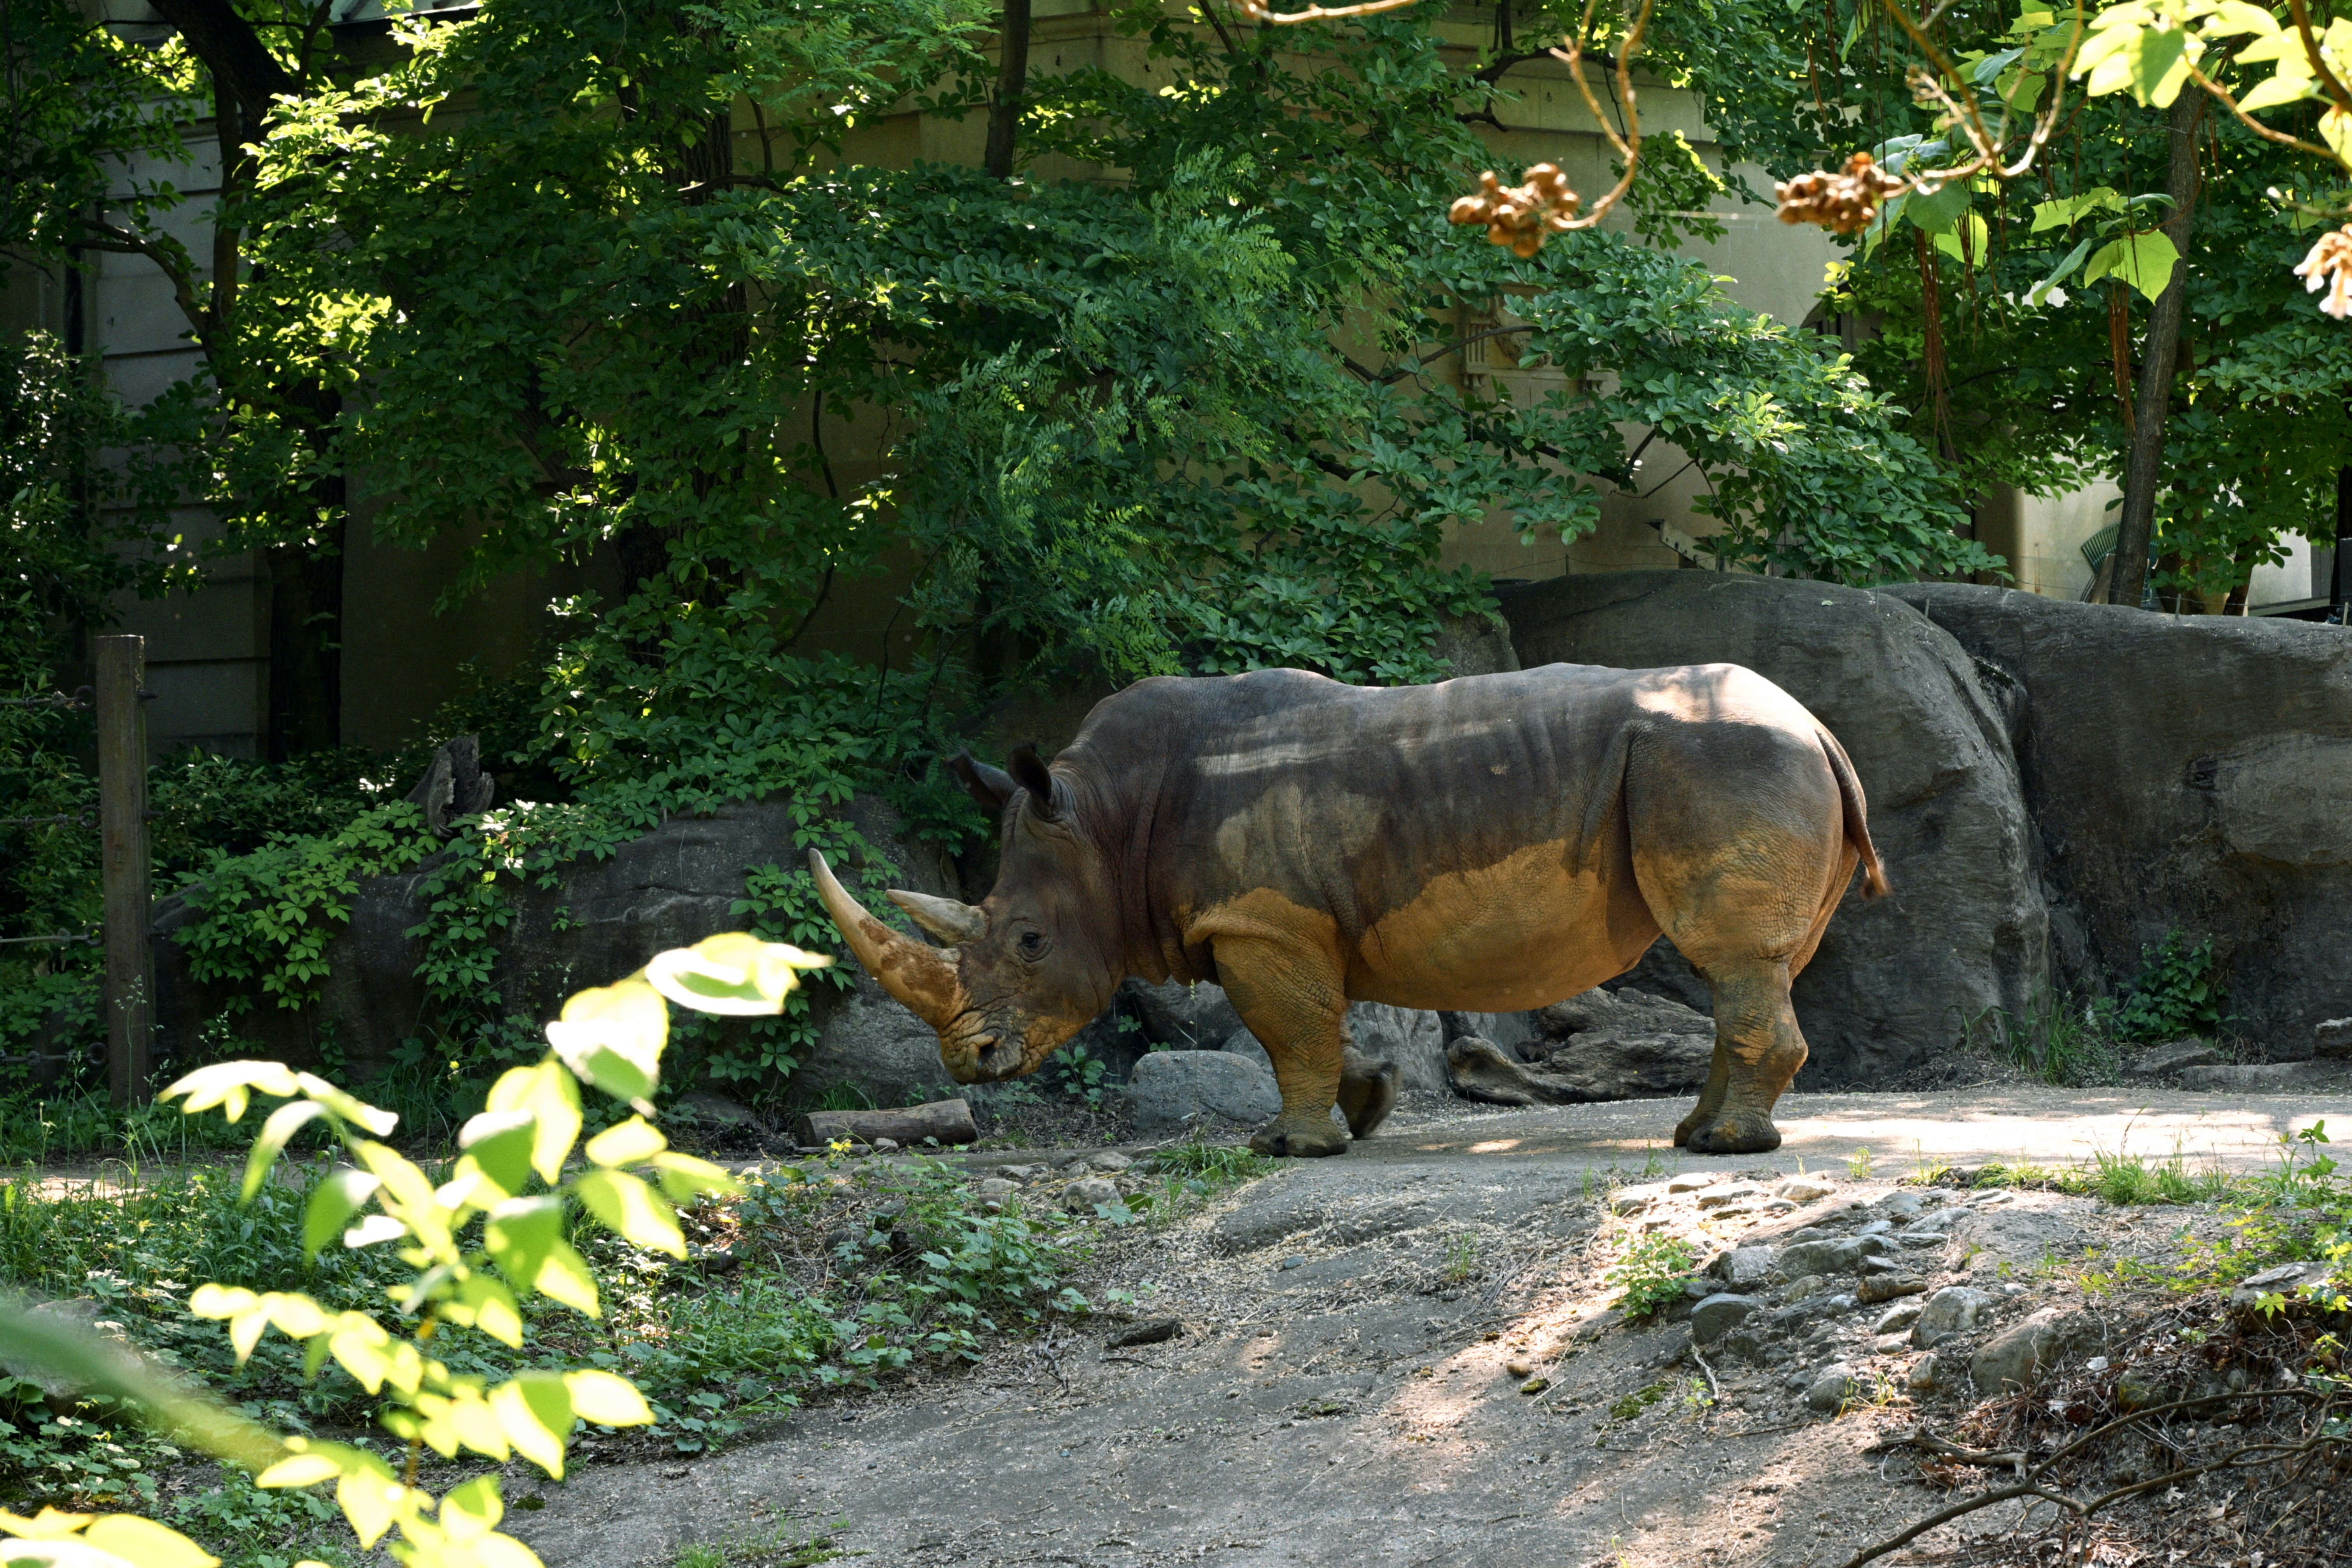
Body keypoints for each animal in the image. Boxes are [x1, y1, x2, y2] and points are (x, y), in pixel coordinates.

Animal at [809, 662, 1887, 1156]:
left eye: (1031, 941)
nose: (970, 1061)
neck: (1107, 823)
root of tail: (1822, 729)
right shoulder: (1287, 922)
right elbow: (1319, 1027)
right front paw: (1366, 1107)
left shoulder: (1260, 921)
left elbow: (1284, 1029)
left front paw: (1289, 1148)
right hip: (1741, 764)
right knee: (1750, 967)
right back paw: (1698, 1134)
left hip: (1727, 762)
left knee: (1732, 956)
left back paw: (1726, 1145)